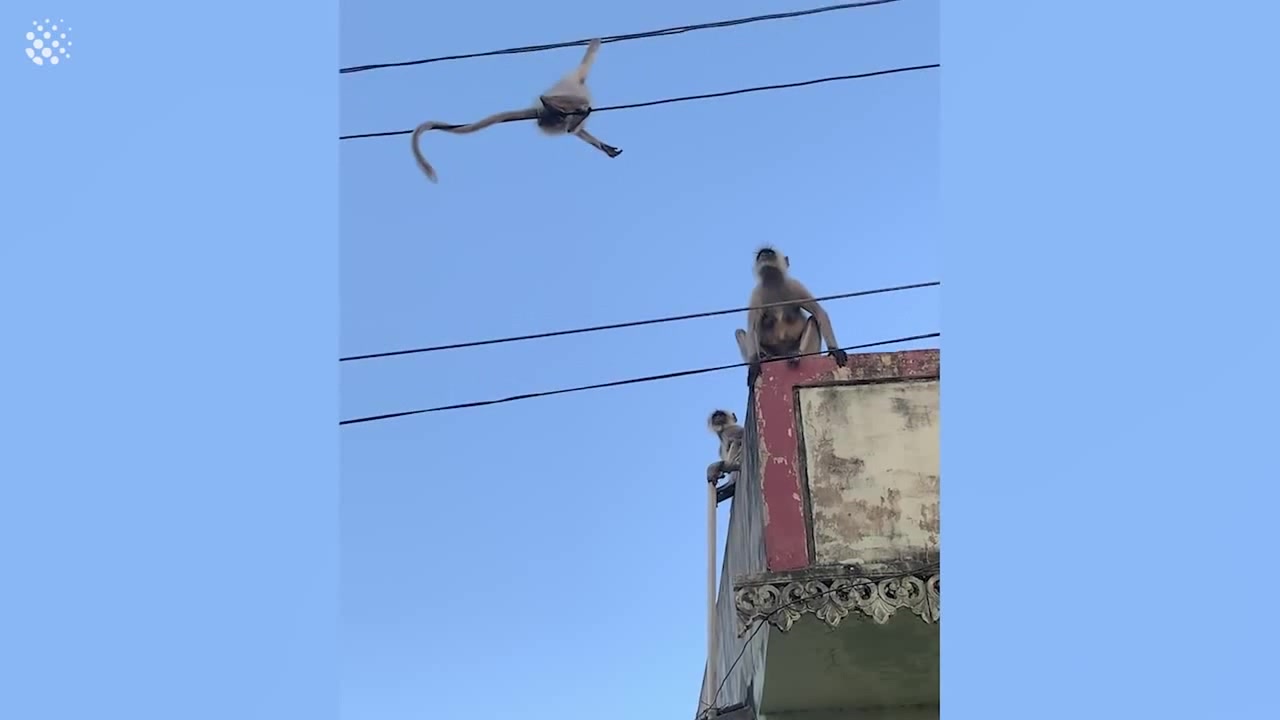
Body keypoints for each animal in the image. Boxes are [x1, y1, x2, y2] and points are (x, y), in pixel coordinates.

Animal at [411, 38, 623, 183]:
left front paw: (603, 146)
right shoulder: (576, 81)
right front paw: (595, 42)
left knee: (570, 124)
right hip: (567, 95)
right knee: (572, 113)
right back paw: (552, 103)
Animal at [734, 246, 849, 387]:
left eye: (769, 252)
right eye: (761, 255)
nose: (764, 255)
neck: (773, 281)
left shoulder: (795, 285)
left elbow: (819, 313)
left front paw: (834, 351)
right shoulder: (756, 294)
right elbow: (752, 328)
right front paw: (755, 365)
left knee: (813, 320)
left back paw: (796, 356)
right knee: (739, 332)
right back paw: (765, 357)